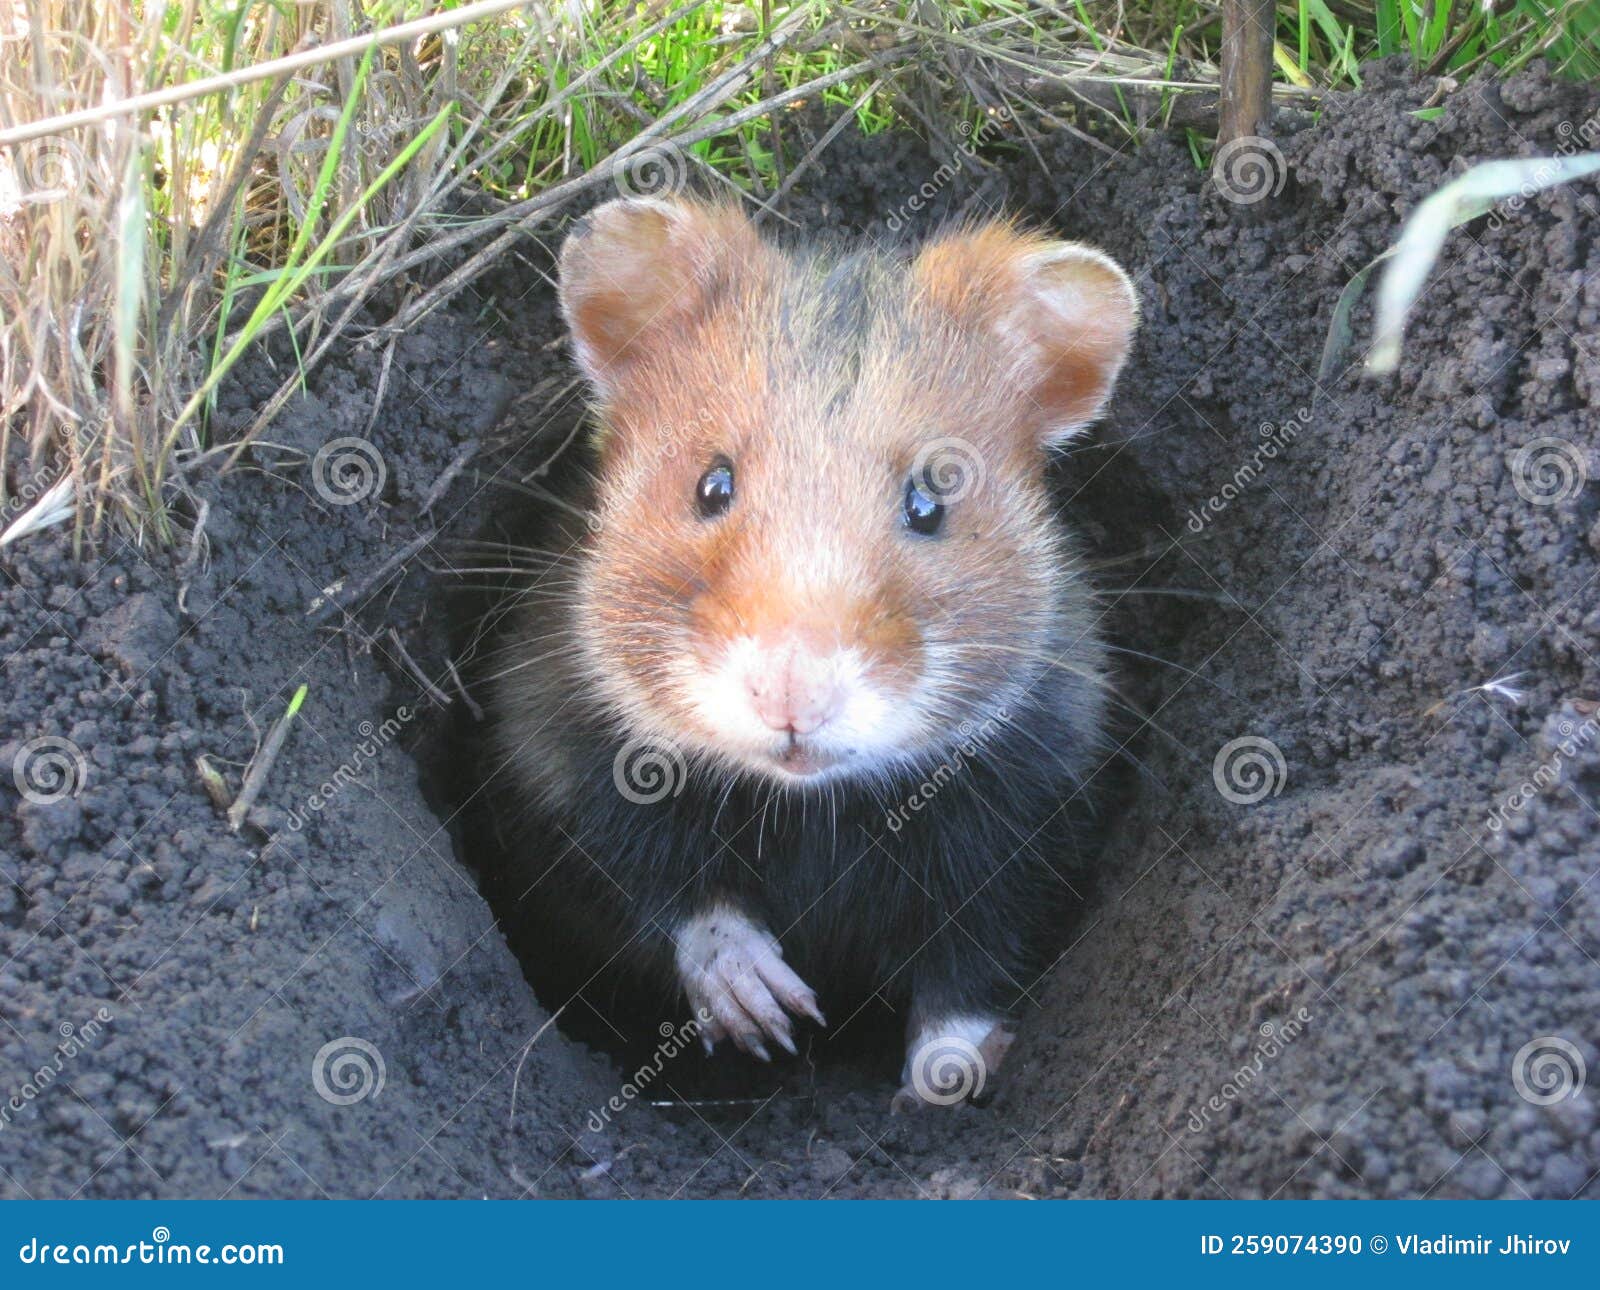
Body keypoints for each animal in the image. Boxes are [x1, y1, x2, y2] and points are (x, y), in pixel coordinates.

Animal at [488, 196, 1138, 1107]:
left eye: (931, 501)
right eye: (711, 485)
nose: (790, 699)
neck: (807, 809)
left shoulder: (1042, 803)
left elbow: (978, 963)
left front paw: (940, 1082)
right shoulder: (551, 775)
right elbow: (663, 896)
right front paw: (768, 1011)